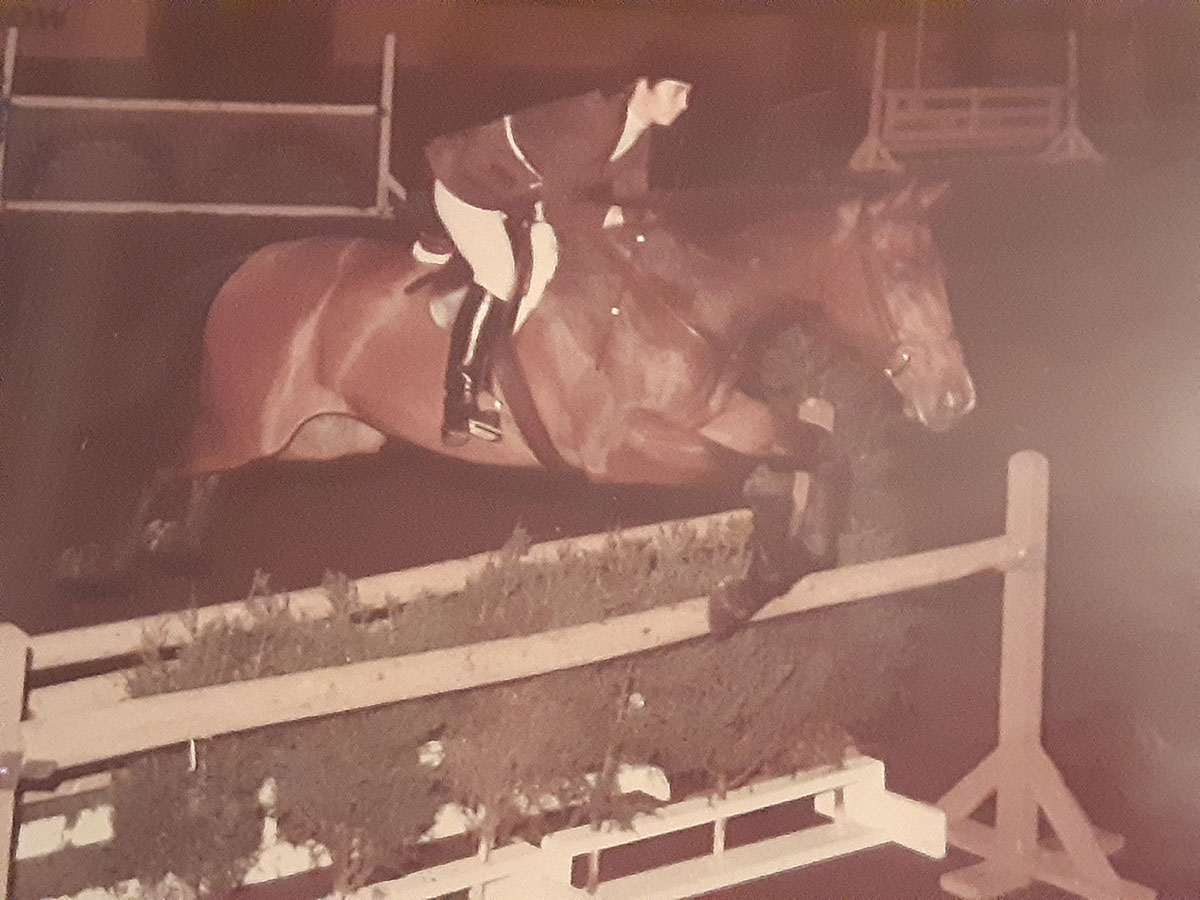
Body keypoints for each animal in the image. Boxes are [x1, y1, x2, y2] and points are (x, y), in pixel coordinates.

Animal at [59, 181, 974, 634]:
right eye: (900, 274)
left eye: (939, 271)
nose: (955, 399)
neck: (680, 297)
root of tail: (253, 259)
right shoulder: (620, 450)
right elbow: (755, 478)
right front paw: (743, 588)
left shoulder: (715, 414)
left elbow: (816, 453)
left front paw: (764, 580)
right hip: (254, 419)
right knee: (168, 461)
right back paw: (109, 561)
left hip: (322, 436)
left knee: (210, 472)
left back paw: (178, 544)